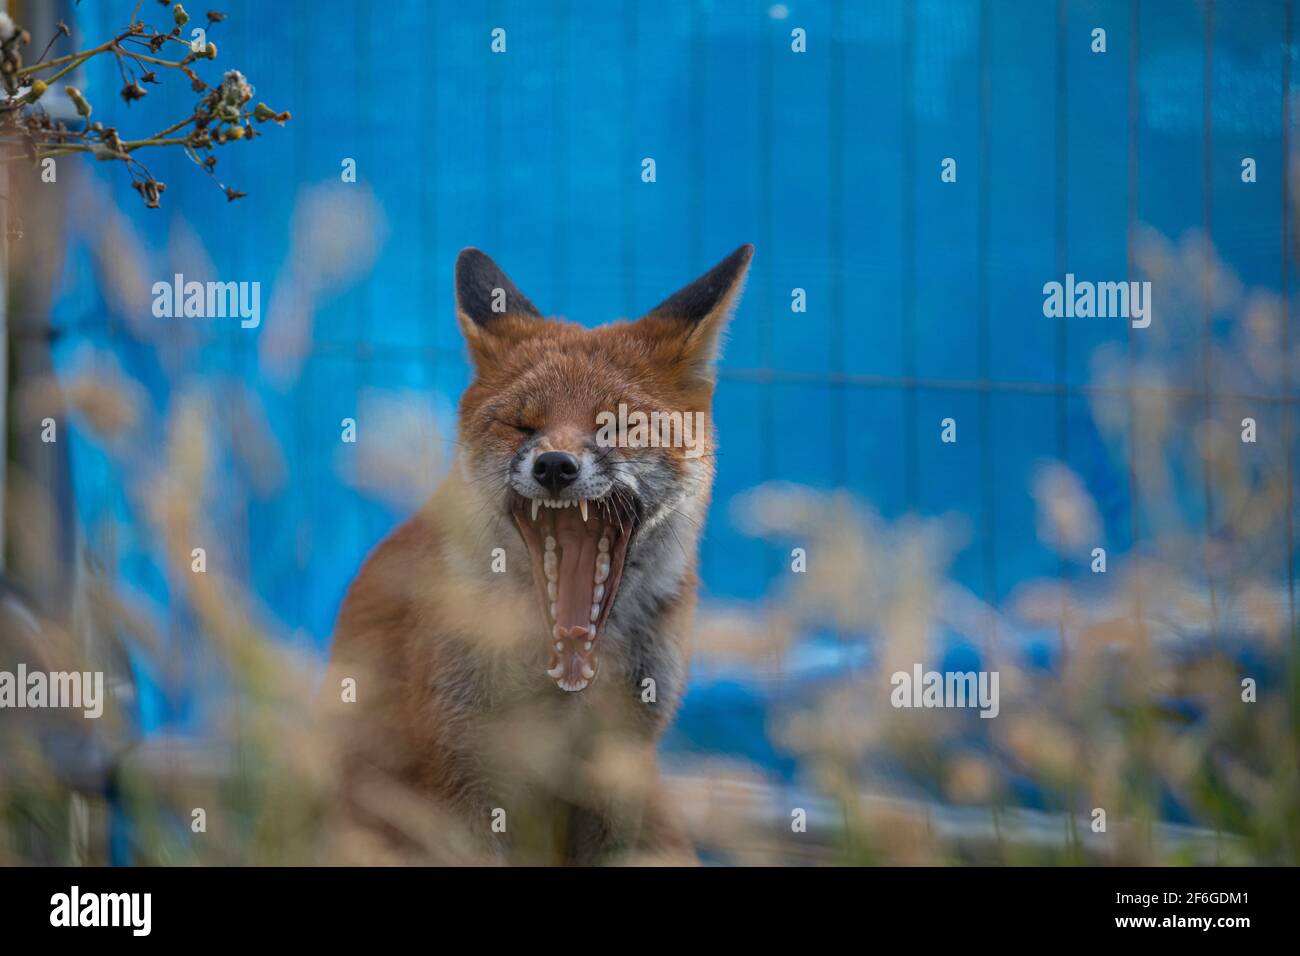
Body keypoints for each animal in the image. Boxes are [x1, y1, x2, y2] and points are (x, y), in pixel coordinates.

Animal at [325, 243, 753, 865]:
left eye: (619, 425)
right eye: (522, 425)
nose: (554, 465)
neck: (564, 688)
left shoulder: (618, 768)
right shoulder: (463, 768)